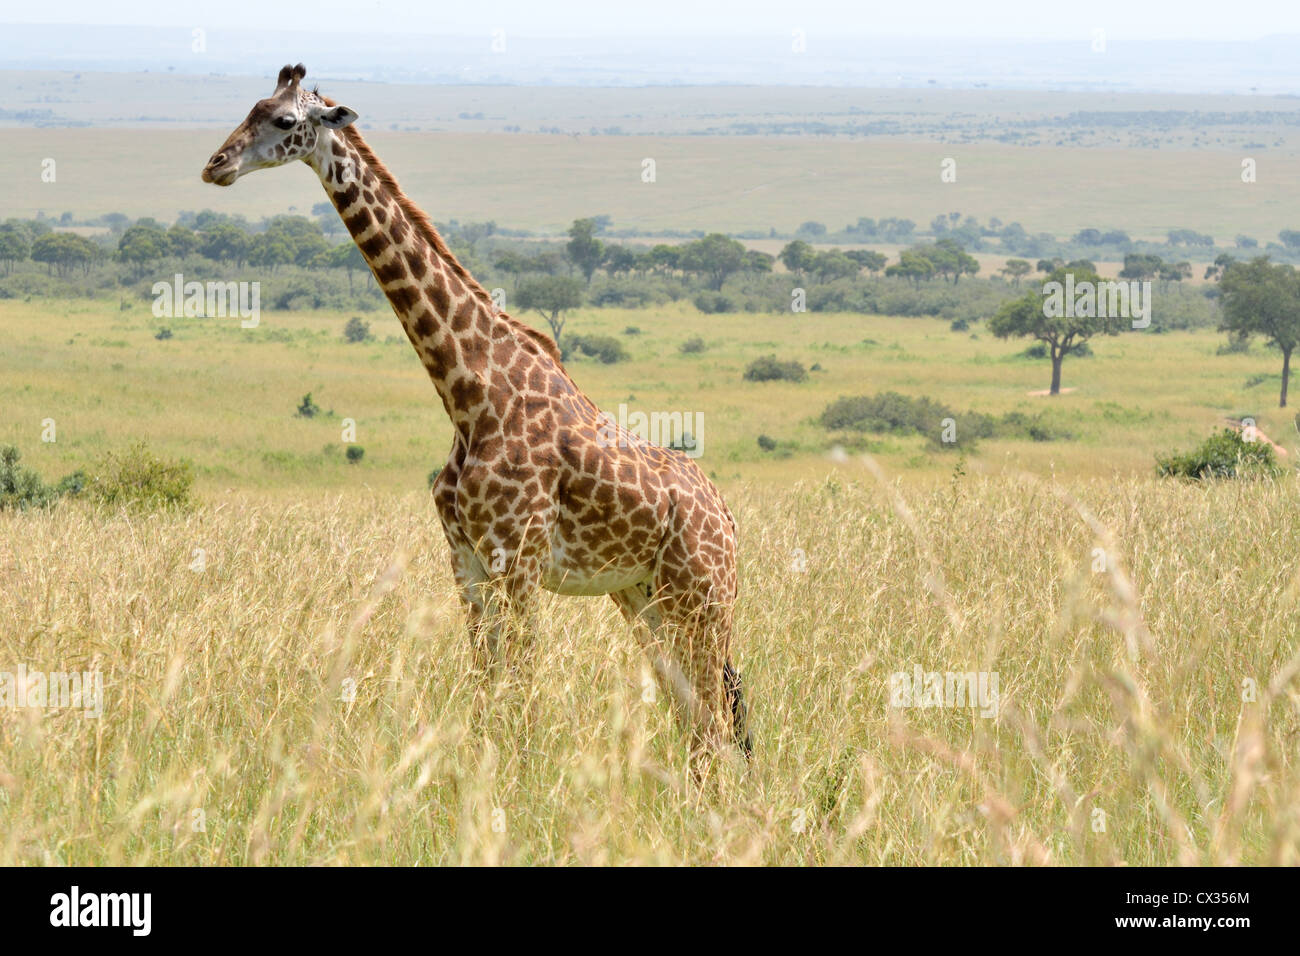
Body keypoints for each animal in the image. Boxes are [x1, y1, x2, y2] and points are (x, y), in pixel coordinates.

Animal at [202, 64, 751, 765]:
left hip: (702, 596)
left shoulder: (516, 562)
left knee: (719, 720)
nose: (215, 165)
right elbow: (487, 692)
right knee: (699, 721)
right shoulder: (465, 560)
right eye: (250, 106)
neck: (469, 394)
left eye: (285, 120)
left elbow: (521, 693)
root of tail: (727, 520)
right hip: (642, 596)